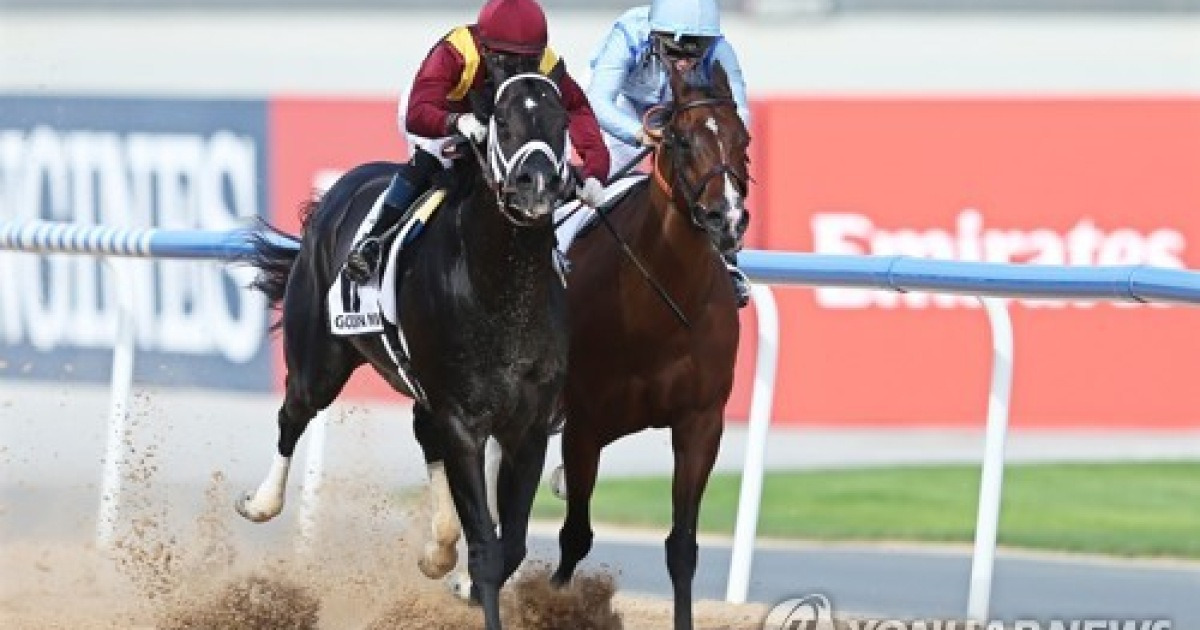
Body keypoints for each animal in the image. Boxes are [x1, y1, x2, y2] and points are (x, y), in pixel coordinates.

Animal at [233, 65, 574, 630]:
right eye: (501, 122)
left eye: (561, 119)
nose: (539, 185)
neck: (498, 286)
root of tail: (338, 191)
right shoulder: (463, 420)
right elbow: (486, 551)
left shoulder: (528, 427)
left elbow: (511, 545)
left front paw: (456, 574)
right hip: (319, 359)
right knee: (294, 412)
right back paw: (261, 502)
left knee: (422, 432)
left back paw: (438, 549)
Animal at [550, 63, 750, 630]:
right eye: (680, 140)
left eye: (744, 140)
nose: (727, 219)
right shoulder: (585, 424)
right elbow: (574, 536)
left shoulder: (700, 422)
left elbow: (682, 547)